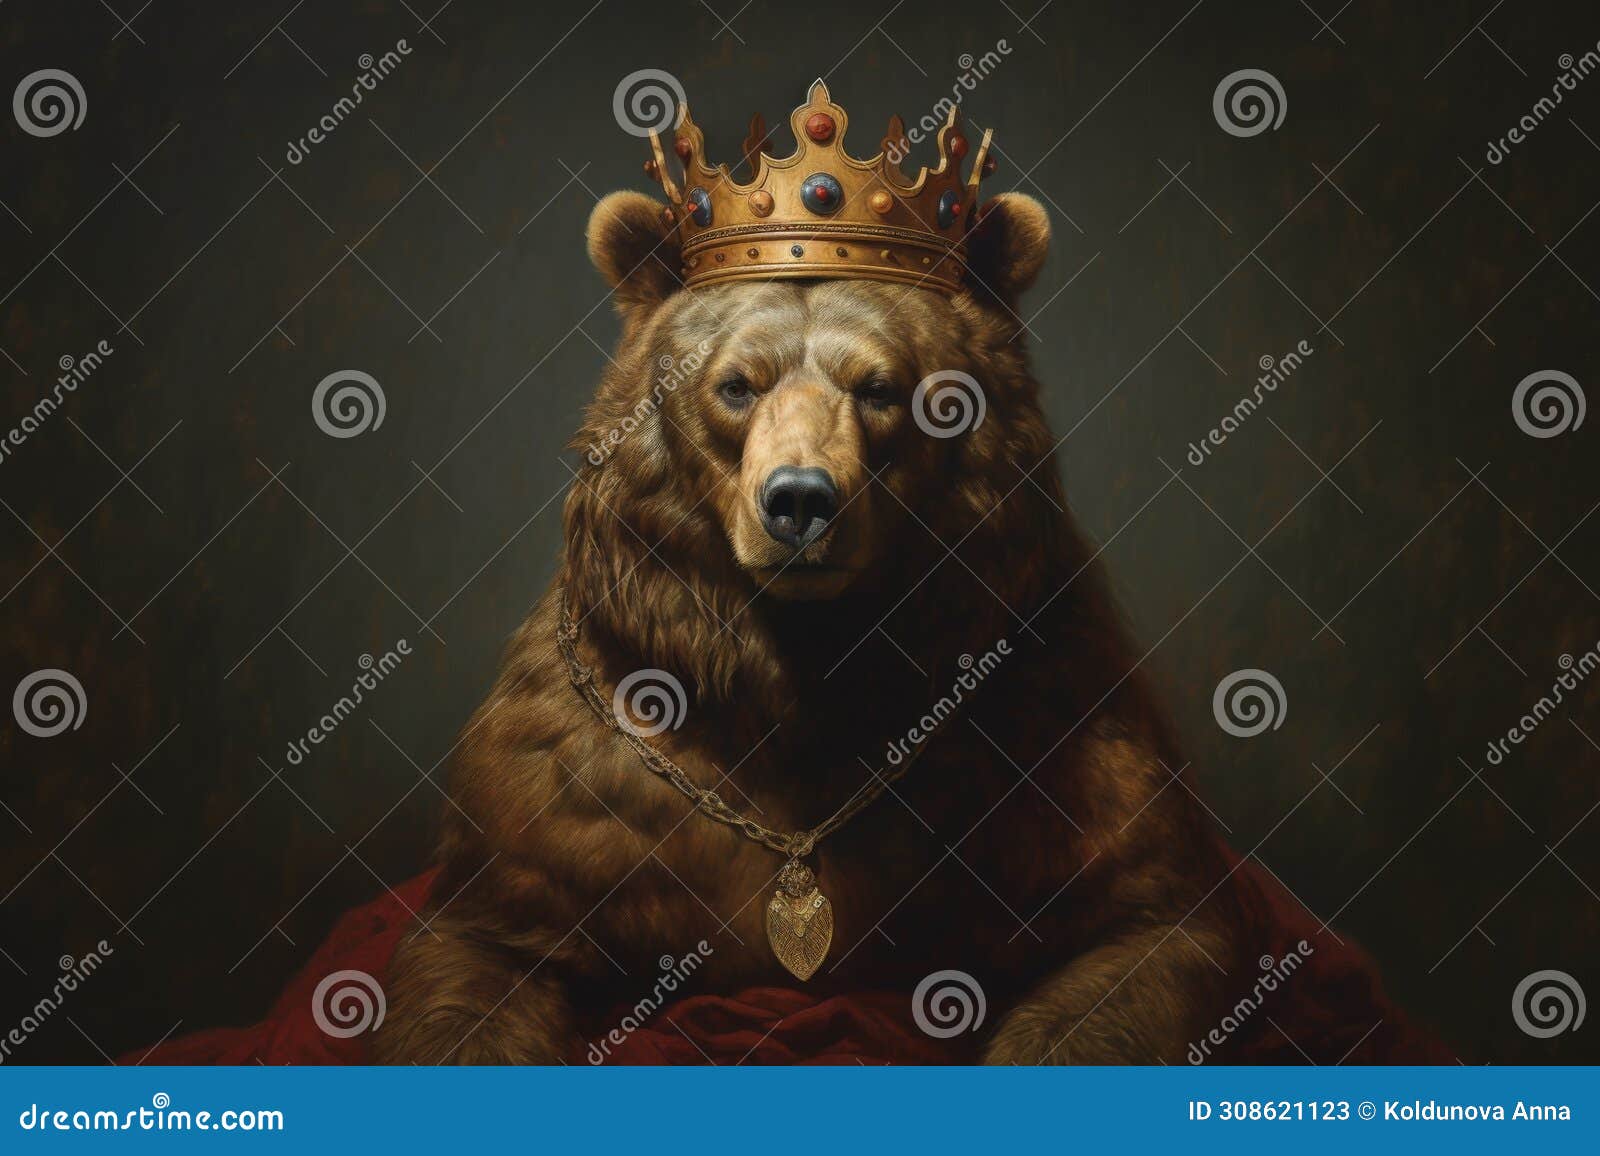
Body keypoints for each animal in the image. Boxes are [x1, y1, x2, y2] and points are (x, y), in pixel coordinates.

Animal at [371, 186, 1246, 1065]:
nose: (799, 500)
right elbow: (480, 954)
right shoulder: (574, 799)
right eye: (735, 384)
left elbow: (1144, 925)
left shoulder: (1049, 741)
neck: (799, 674)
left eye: (881, 387)